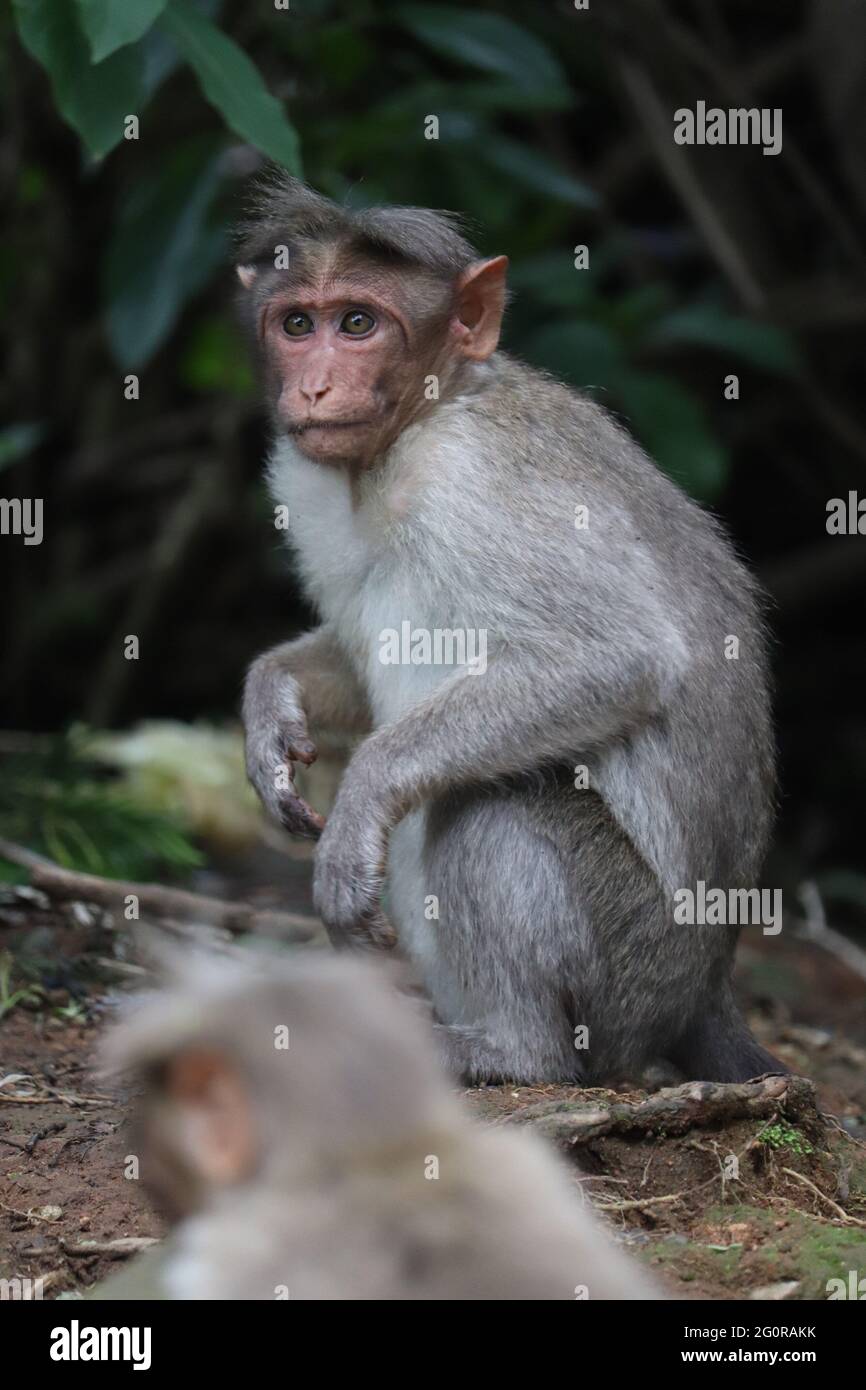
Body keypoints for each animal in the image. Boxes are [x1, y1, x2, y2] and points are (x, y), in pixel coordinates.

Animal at [237, 175, 784, 1087]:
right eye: (298, 324)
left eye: (359, 323)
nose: (311, 388)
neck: (414, 428)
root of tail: (708, 987)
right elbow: (354, 658)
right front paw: (269, 710)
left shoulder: (475, 482)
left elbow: (619, 657)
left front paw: (362, 798)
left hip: (633, 972)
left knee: (489, 799)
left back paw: (514, 1049)